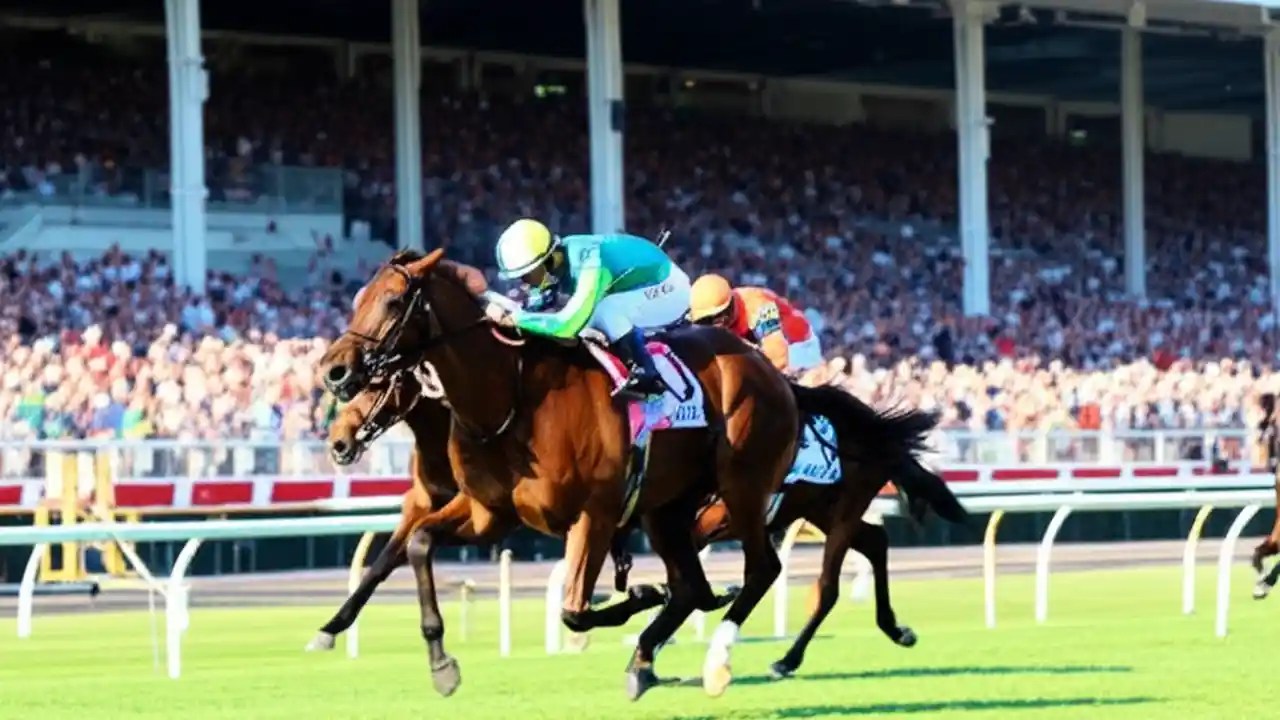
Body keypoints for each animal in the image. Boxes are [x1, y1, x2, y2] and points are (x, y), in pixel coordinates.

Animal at [319, 249, 802, 700]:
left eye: (394, 301)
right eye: (361, 298)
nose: (332, 370)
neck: (508, 399)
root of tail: (768, 371)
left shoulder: (596, 513)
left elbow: (574, 609)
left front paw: (641, 594)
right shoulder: (487, 513)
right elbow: (415, 545)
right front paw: (439, 661)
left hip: (741, 487)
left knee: (762, 568)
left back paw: (717, 661)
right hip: (667, 509)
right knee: (690, 586)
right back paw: (644, 660)